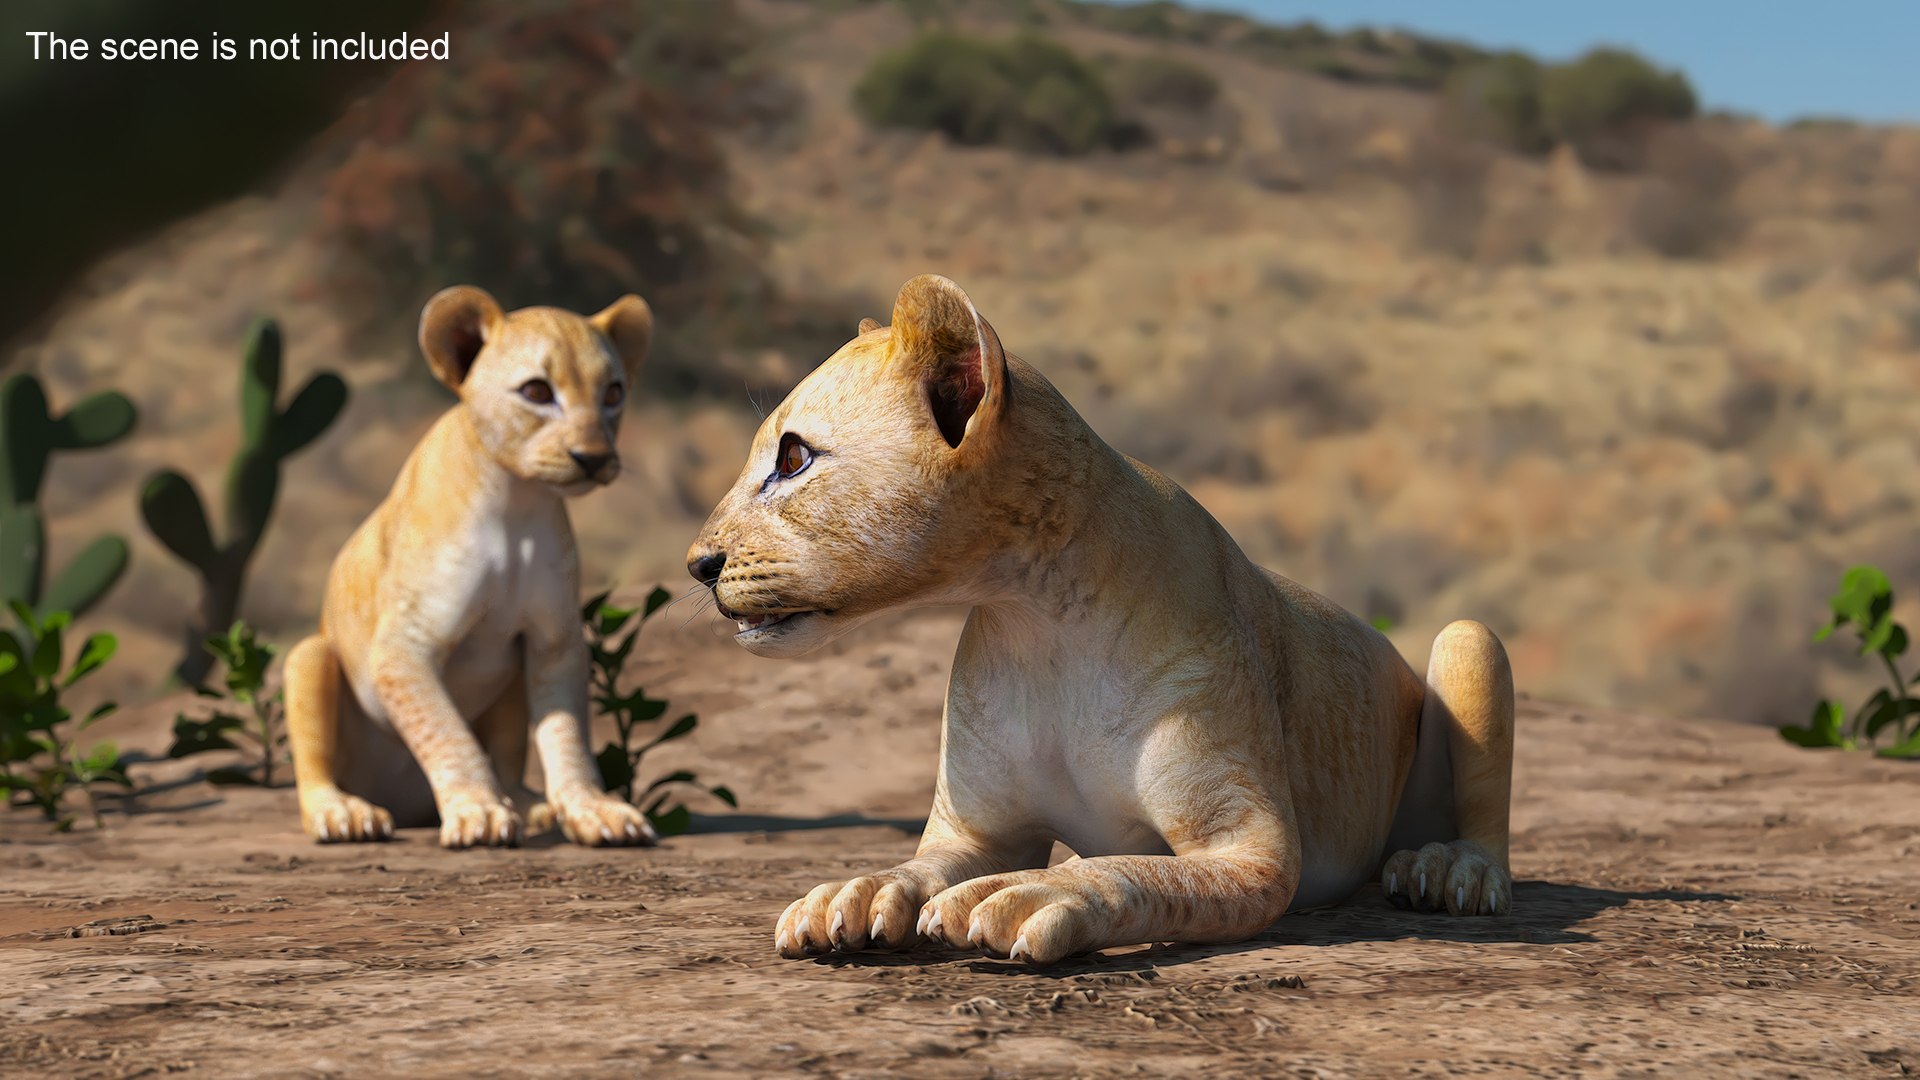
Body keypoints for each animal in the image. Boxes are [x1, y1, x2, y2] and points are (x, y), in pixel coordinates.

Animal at [284, 285, 658, 849]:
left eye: (613, 393)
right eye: (536, 391)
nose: (594, 458)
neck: (516, 503)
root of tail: (407, 806)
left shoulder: (554, 641)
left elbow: (567, 734)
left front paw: (594, 809)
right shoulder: (403, 647)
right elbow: (446, 732)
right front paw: (479, 810)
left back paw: (532, 807)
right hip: (311, 657)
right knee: (313, 771)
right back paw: (344, 813)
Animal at [687, 274, 1515, 964]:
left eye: (793, 459)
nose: (697, 565)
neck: (1041, 617)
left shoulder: (1251, 846)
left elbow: (1142, 877)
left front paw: (1026, 896)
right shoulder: (977, 830)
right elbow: (918, 866)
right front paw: (854, 892)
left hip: (1465, 642)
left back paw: (1447, 868)